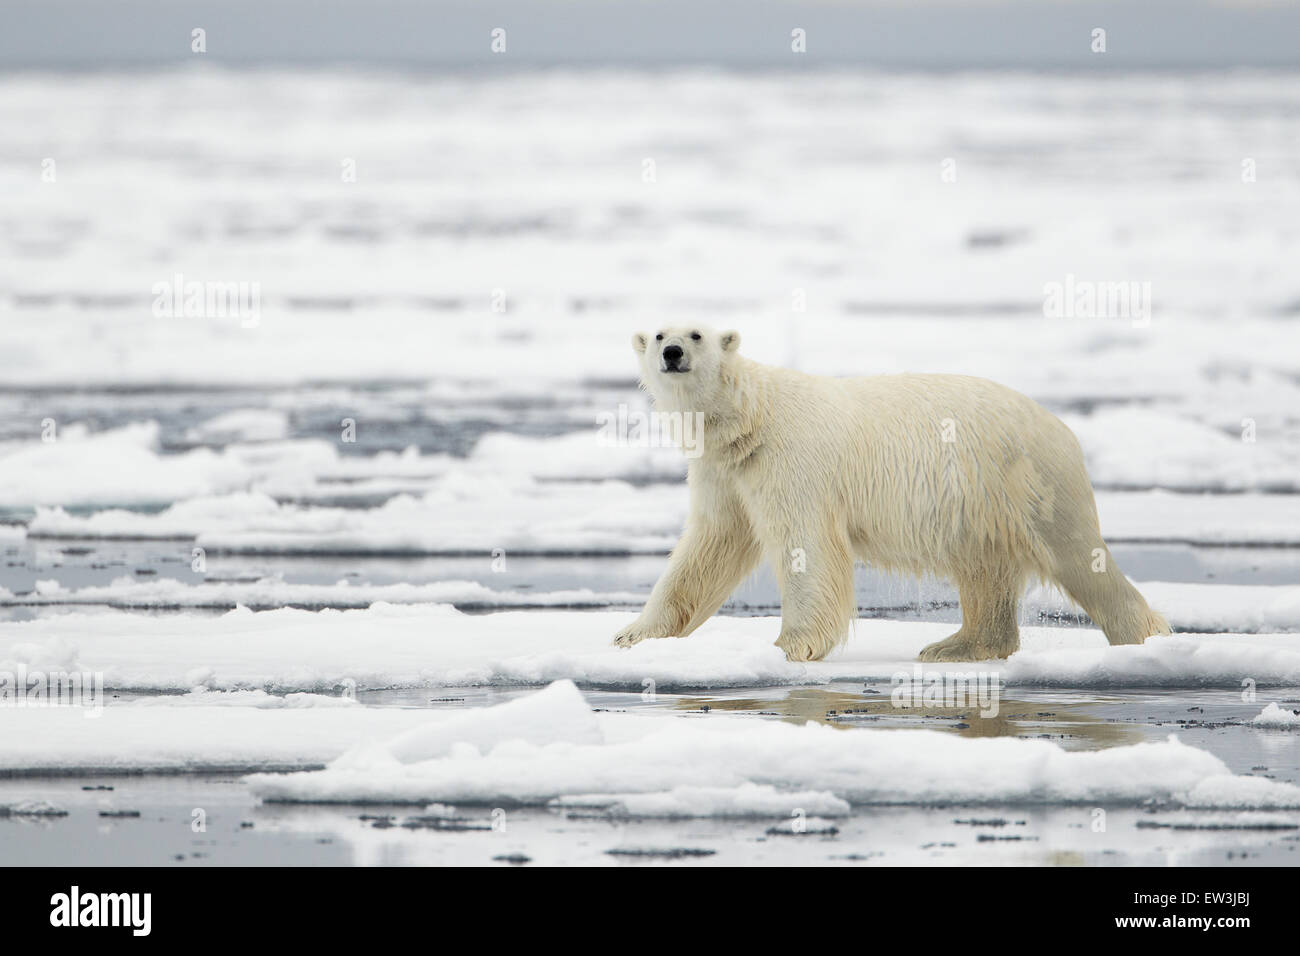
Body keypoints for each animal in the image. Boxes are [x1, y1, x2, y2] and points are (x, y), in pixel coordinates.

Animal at [612, 326, 1170, 662]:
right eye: (659, 333)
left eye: (696, 334)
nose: (672, 353)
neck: (752, 418)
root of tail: (1060, 426)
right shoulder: (725, 471)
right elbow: (710, 545)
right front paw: (633, 634)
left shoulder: (791, 462)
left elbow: (806, 547)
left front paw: (789, 644)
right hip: (983, 504)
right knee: (985, 571)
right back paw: (954, 645)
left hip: (1030, 481)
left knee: (1079, 557)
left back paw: (1143, 639)